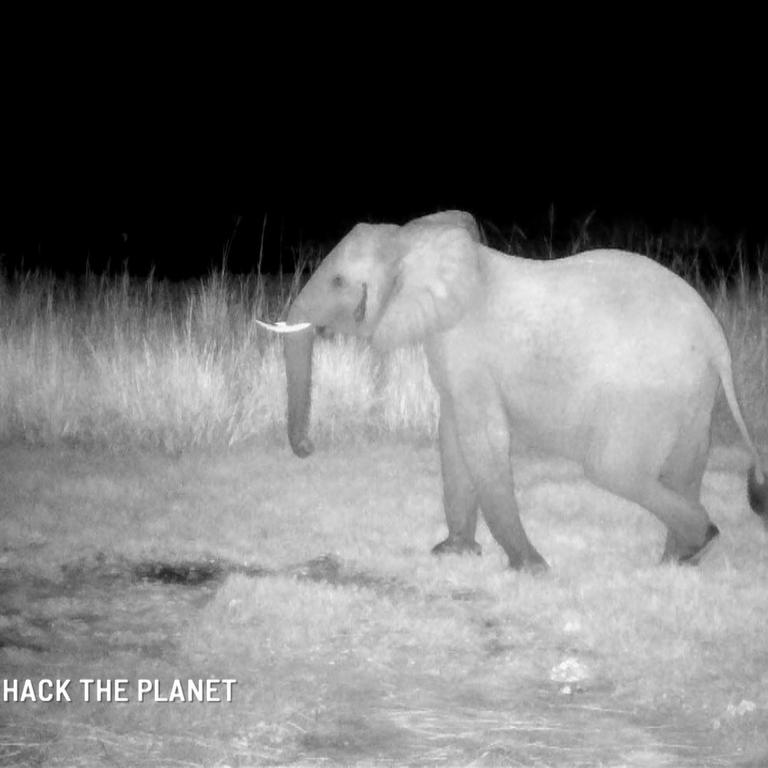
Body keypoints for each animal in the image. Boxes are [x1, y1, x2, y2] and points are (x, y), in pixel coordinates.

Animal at [274, 210, 767, 570]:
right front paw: (453, 553)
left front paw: (529, 568)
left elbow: (482, 441)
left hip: (649, 392)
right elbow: (453, 439)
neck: (415, 242)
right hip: (691, 392)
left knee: (612, 470)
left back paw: (701, 539)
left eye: (338, 282)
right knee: (685, 468)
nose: (308, 448)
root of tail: (715, 336)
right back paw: (681, 558)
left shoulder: (467, 347)